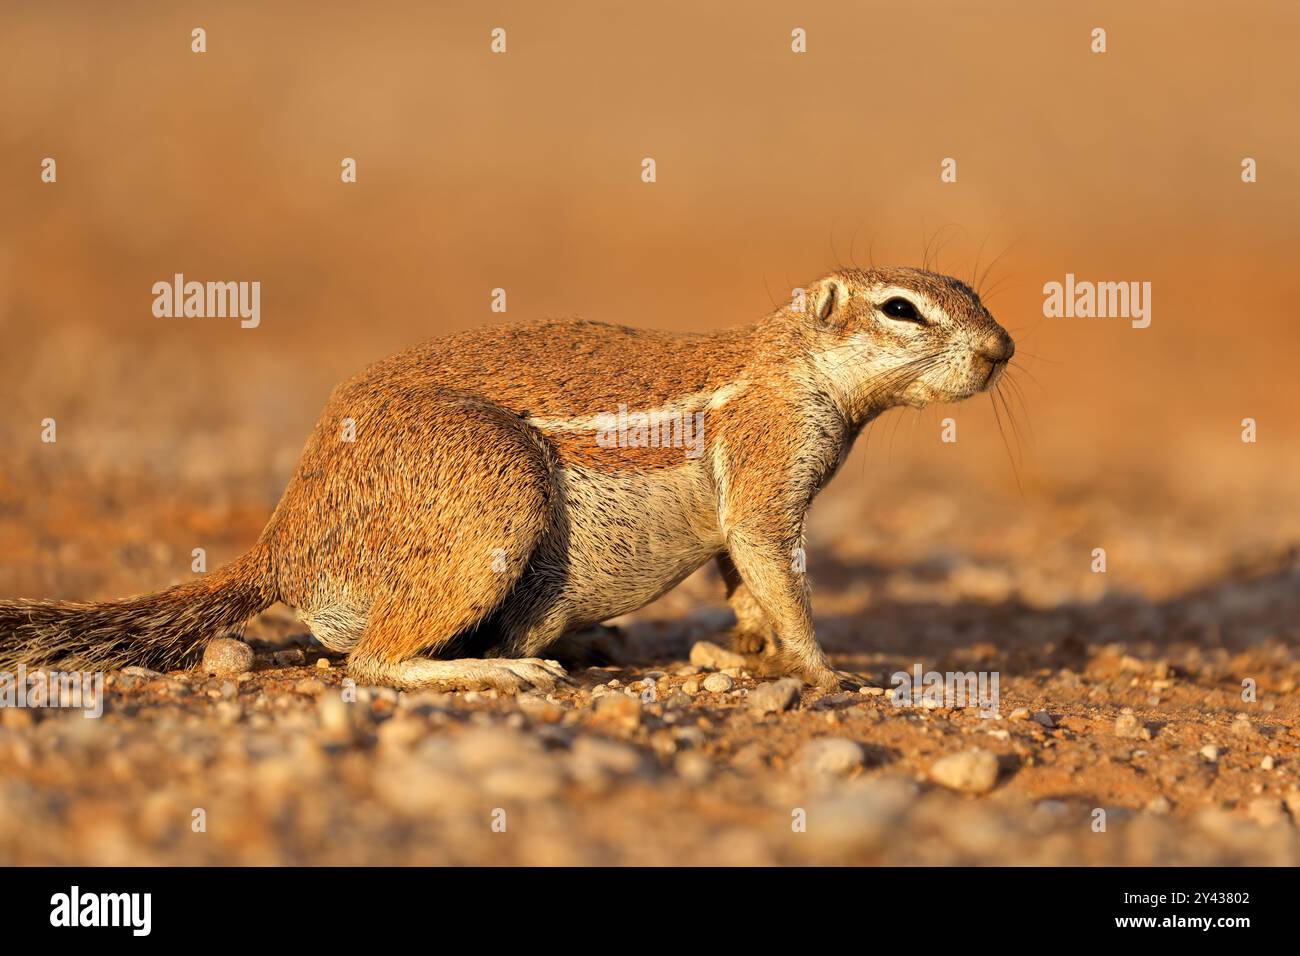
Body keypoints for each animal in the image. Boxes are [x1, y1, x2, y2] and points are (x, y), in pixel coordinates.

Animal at [0, 267, 1014, 693]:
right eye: (902, 309)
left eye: (970, 288)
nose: (1002, 348)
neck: (795, 361)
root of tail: (284, 537)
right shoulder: (770, 466)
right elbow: (775, 567)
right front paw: (824, 669)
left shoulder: (751, 501)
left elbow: (743, 578)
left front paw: (749, 648)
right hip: (498, 489)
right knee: (372, 661)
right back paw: (505, 667)